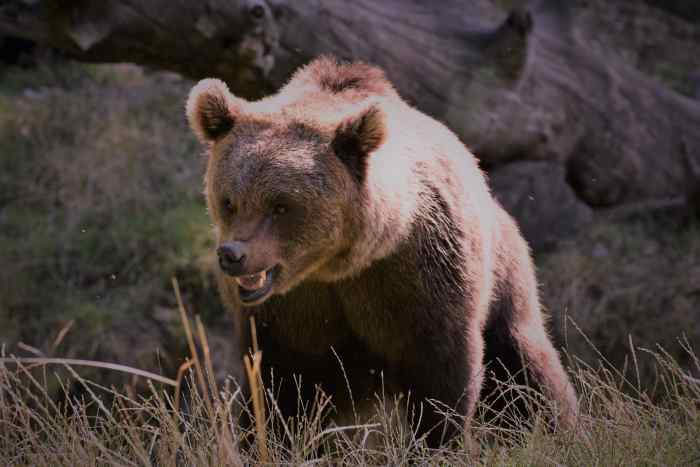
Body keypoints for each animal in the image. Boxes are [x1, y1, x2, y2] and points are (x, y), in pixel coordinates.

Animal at [186, 56, 578, 448]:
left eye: (280, 206)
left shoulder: (418, 277)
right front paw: (270, 441)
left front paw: (438, 442)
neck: (334, 266)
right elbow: (280, 389)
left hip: (505, 282)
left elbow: (442, 374)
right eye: (229, 201)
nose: (233, 255)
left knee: (524, 373)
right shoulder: (289, 314)